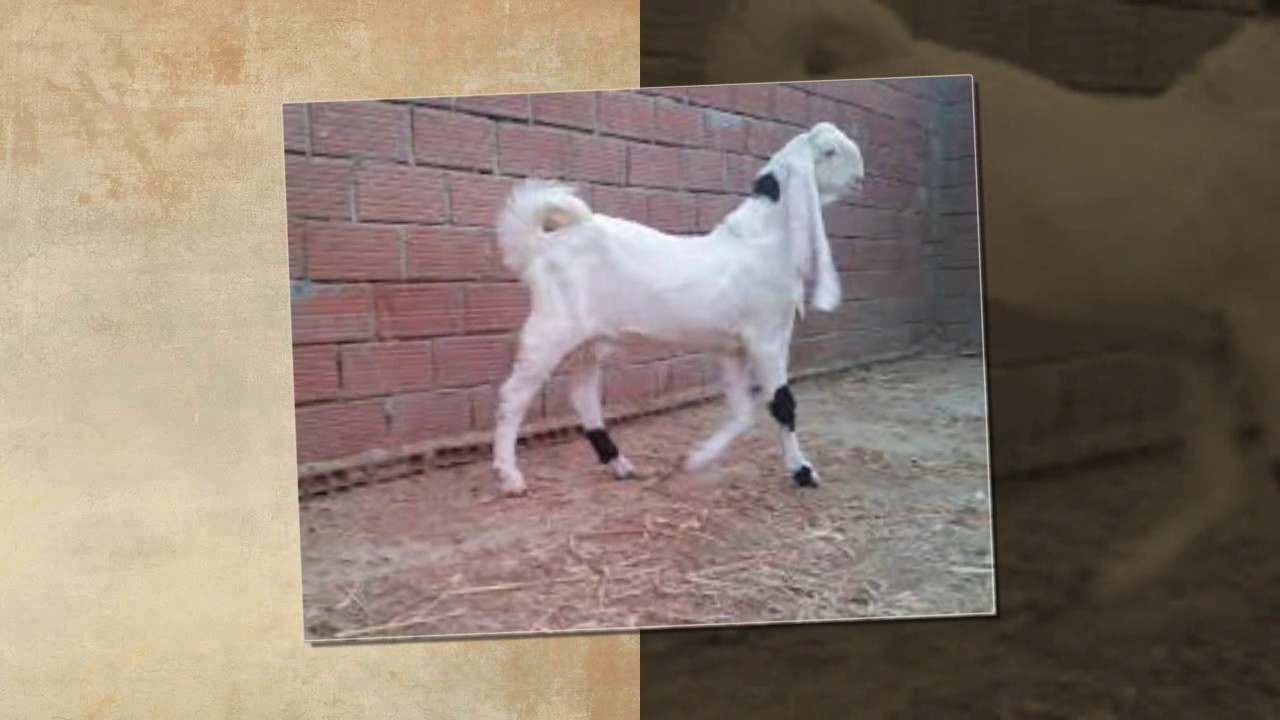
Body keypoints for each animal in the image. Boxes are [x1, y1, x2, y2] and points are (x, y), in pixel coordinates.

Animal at [489, 121, 866, 497]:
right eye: (830, 151)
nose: (860, 176)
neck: (762, 241)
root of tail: (540, 246)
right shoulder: (767, 338)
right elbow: (782, 403)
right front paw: (804, 472)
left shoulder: (731, 347)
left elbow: (742, 411)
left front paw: (698, 459)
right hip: (552, 327)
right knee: (514, 393)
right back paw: (510, 476)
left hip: (590, 340)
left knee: (583, 396)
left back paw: (619, 464)